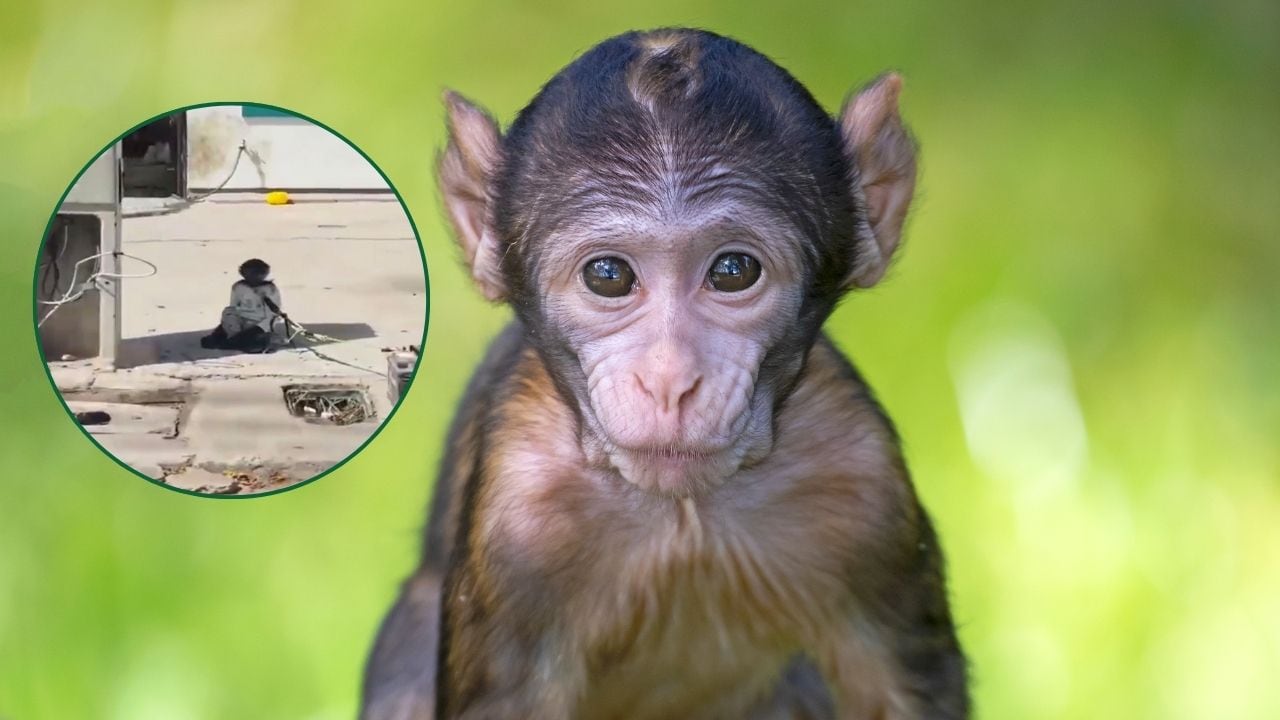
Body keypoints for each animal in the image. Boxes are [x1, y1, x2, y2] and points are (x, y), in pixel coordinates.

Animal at [362, 28, 968, 720]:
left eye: (733, 271)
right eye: (608, 276)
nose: (669, 380)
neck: (686, 512)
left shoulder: (862, 488)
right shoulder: (521, 520)